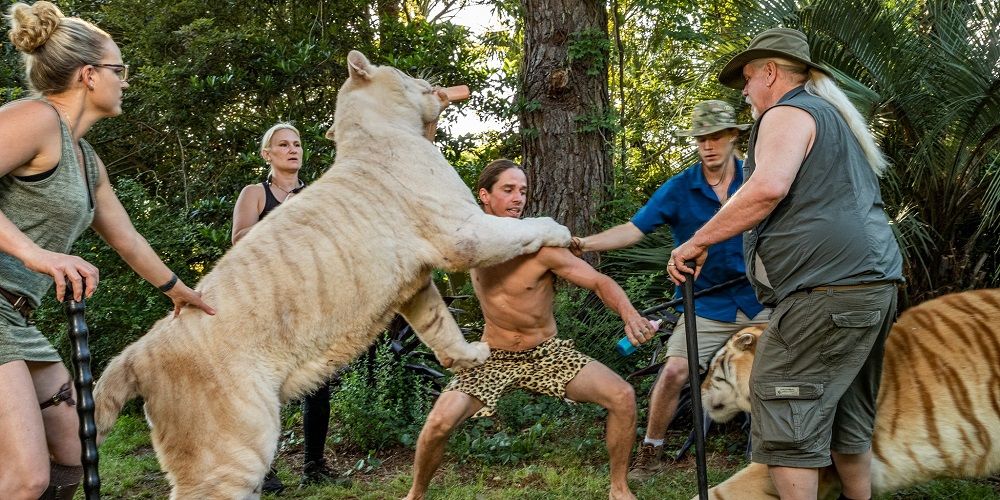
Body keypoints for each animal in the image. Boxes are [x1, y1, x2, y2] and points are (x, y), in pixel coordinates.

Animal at [92, 50, 572, 500]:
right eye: (404, 73)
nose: (428, 80)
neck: (381, 132)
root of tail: (138, 353)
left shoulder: (414, 284)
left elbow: (439, 324)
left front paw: (469, 356)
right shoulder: (462, 231)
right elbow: (523, 229)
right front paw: (562, 232)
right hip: (231, 449)